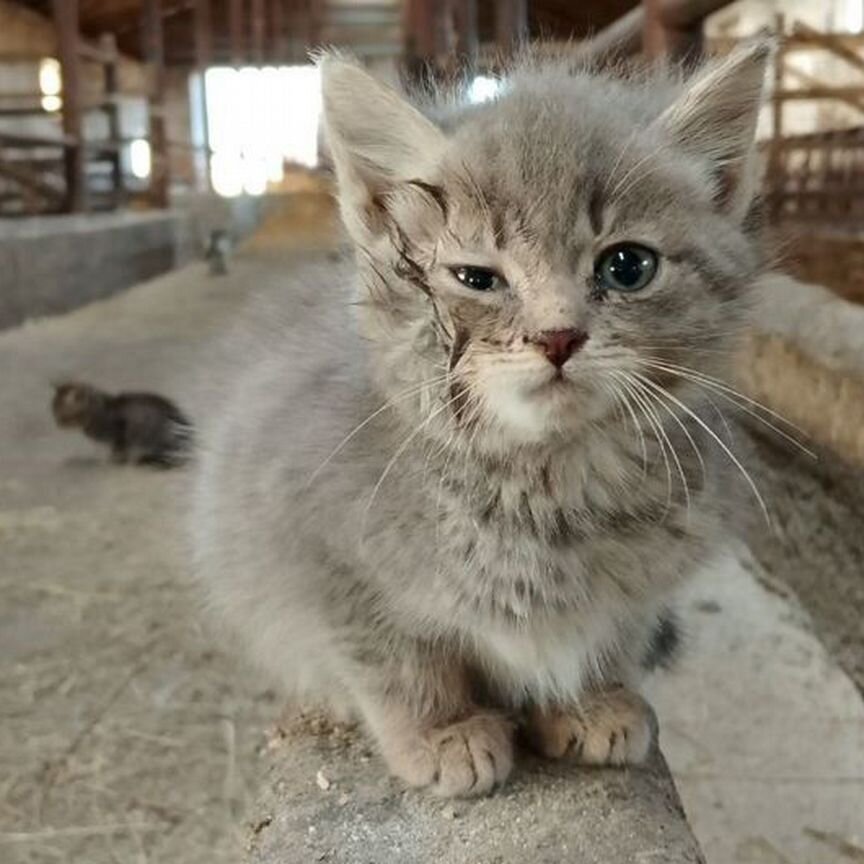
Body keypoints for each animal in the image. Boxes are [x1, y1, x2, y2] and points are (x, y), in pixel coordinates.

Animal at [52, 382, 192, 470]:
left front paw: (111, 461)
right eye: (52, 412)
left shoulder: (119, 432)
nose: (57, 424)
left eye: (62, 417)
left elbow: (116, 449)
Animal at [192, 42, 772, 796]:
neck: (547, 486)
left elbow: (609, 630)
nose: (558, 336)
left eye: (627, 266)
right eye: (476, 278)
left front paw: (588, 701)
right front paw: (442, 732)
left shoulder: (645, 577)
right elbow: (397, 659)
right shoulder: (320, 553)